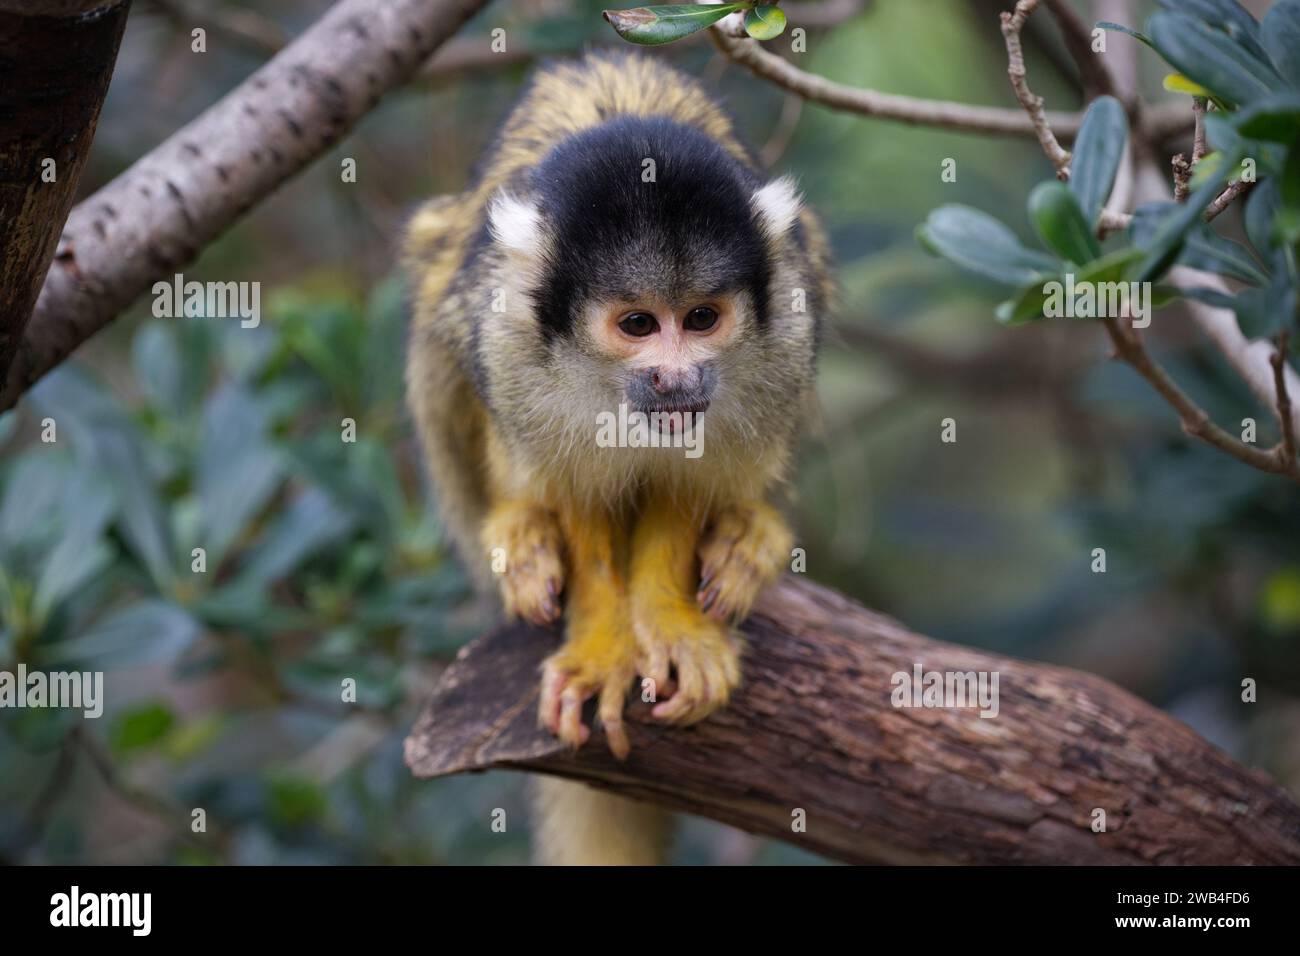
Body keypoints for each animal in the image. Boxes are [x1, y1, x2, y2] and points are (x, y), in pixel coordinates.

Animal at [403, 49, 832, 865]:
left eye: (701, 319)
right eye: (638, 325)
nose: (677, 378)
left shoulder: (781, 339)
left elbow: (689, 484)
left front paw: (671, 623)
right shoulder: (511, 339)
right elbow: (575, 490)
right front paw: (602, 645)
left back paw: (750, 536)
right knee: (439, 303)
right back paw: (519, 534)